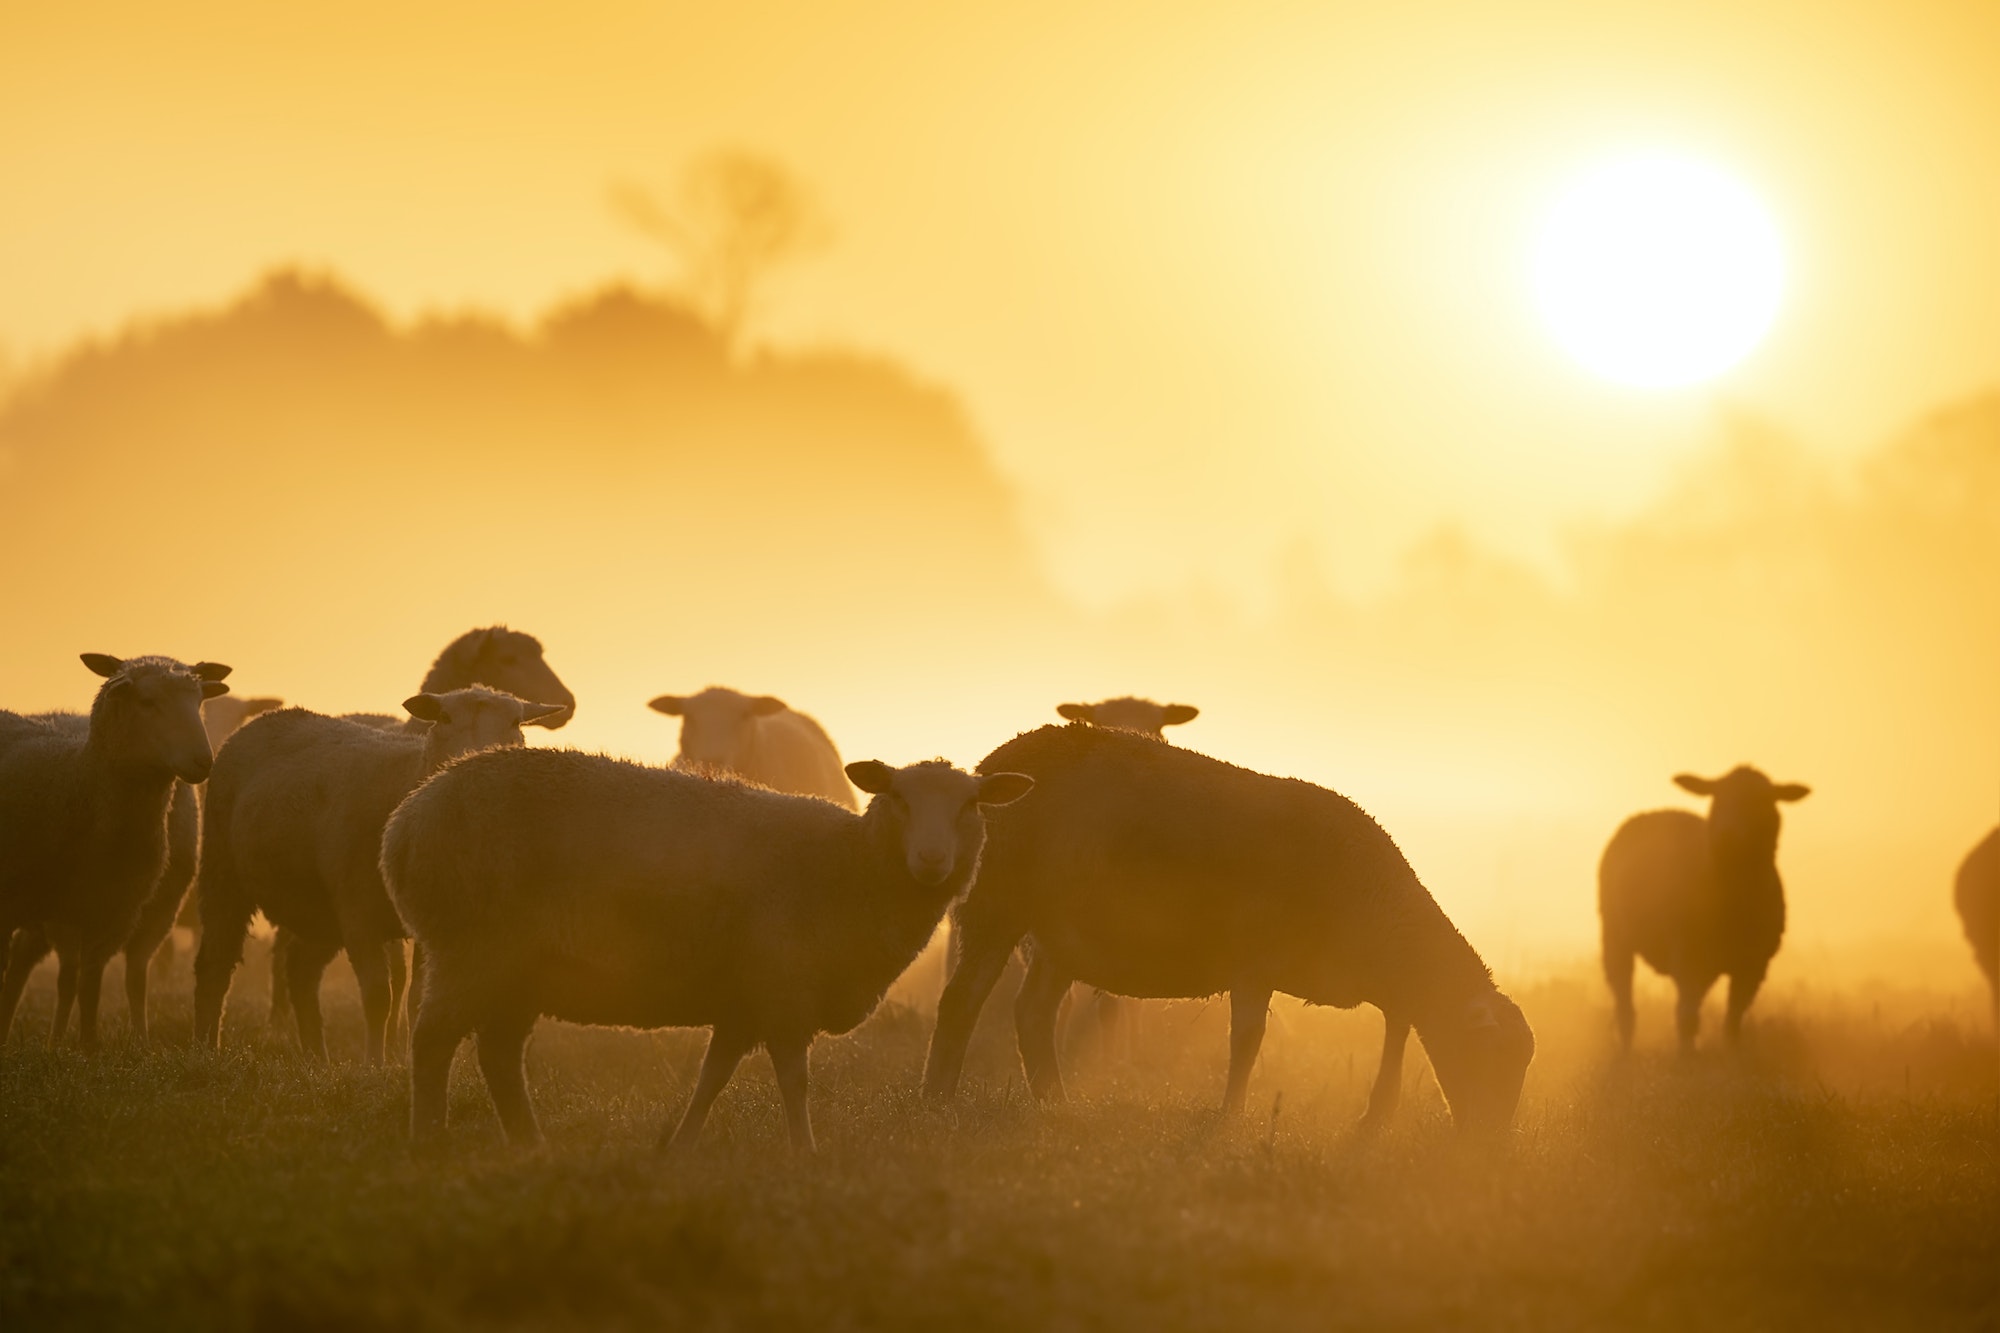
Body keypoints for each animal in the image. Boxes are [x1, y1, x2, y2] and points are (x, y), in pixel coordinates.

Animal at [0, 655, 230, 1050]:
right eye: (147, 702)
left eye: (199, 700)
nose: (204, 760)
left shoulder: (115, 912)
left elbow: (91, 984)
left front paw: (89, 1048)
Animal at [193, 688, 567, 1063]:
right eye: (444, 718)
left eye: (516, 722)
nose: (476, 761)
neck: (404, 781)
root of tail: (273, 716)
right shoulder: (358, 913)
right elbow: (377, 996)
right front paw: (374, 1065)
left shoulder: (427, 924)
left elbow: (415, 999)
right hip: (222, 868)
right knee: (215, 963)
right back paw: (208, 1048)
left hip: (320, 906)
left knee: (300, 970)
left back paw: (317, 1059)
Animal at [381, 751, 1033, 1149]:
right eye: (898, 797)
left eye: (971, 805)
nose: (932, 860)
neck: (847, 868)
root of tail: (405, 823)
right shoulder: (784, 990)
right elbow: (795, 1081)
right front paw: (805, 1152)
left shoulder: (746, 1000)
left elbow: (711, 1077)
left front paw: (681, 1145)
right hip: (470, 950)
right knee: (432, 1042)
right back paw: (426, 1139)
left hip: (516, 969)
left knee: (498, 1055)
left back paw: (529, 1146)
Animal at [924, 723, 1534, 1134]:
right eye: (1488, 1056)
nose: (1492, 1147)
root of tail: (994, 764)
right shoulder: (1254, 961)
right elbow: (1247, 1041)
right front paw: (1231, 1116)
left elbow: (1398, 1030)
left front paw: (1374, 1118)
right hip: (994, 909)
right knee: (960, 1002)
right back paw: (938, 1099)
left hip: (1057, 937)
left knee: (1032, 1014)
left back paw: (1056, 1104)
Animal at [1599, 766, 1810, 1053]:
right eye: (1716, 798)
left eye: (1762, 800)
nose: (1726, 836)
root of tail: (1654, 811)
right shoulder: (1687, 958)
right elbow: (1687, 1018)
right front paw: (1687, 1056)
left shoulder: (1754, 965)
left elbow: (1733, 1021)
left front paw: (1731, 1053)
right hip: (1615, 935)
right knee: (1624, 1002)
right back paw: (1627, 1048)